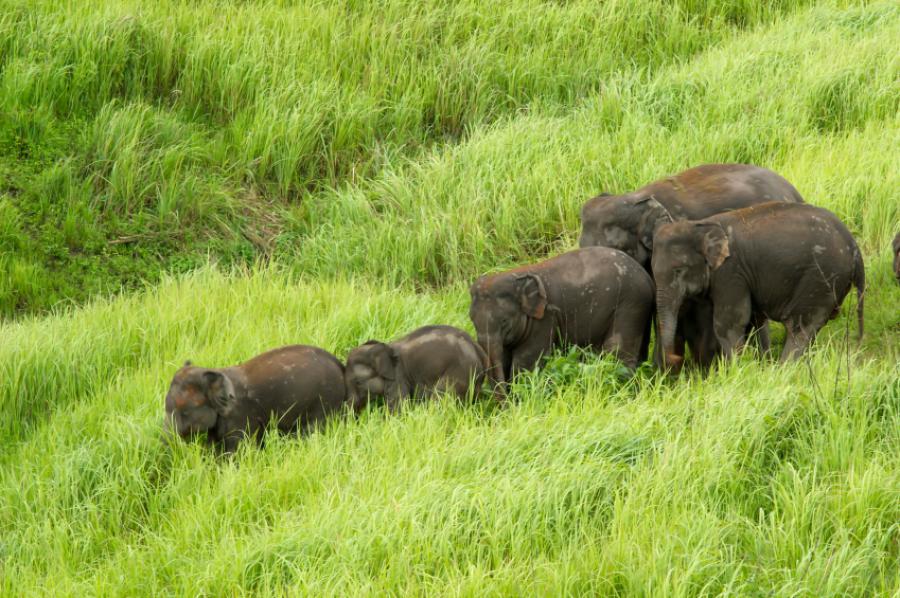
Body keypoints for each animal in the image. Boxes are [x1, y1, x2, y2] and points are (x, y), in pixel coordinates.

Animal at [469, 247, 655, 398]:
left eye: (504, 321)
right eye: (472, 320)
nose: (506, 408)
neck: (518, 277)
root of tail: (647, 276)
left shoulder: (545, 318)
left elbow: (526, 361)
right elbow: (505, 358)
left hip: (631, 303)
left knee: (617, 353)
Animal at [652, 202, 865, 371]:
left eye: (679, 270)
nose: (676, 358)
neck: (700, 226)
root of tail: (854, 246)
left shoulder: (730, 272)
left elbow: (729, 323)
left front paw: (736, 371)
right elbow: (755, 320)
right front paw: (758, 367)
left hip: (822, 277)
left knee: (800, 328)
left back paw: (784, 372)